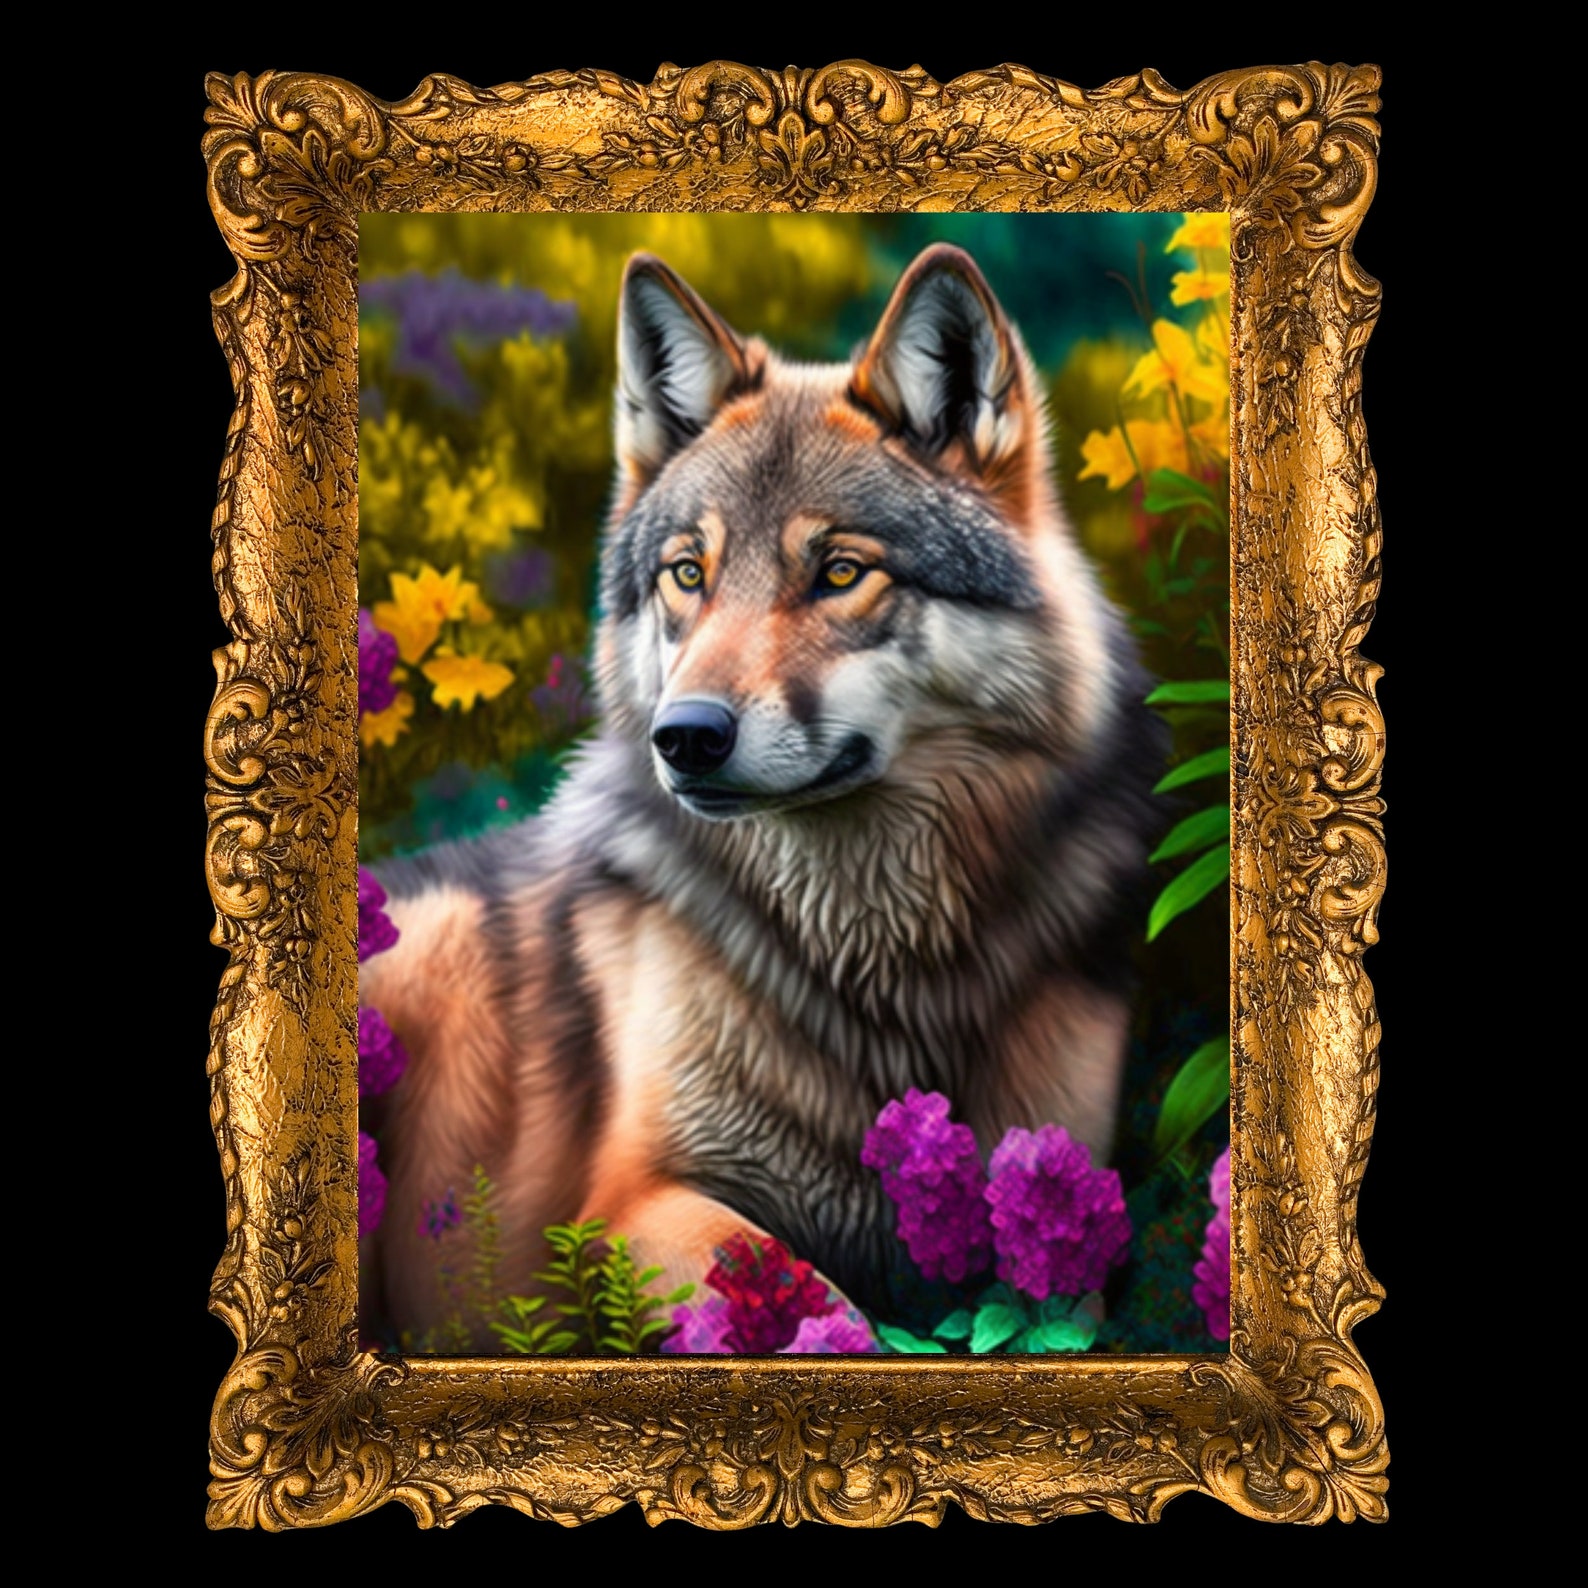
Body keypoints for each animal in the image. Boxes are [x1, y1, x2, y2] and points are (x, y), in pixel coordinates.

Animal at [360, 243, 1166, 1341]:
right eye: (687, 573)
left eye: (839, 572)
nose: (686, 737)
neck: (879, 981)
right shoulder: (632, 1197)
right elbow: (823, 1308)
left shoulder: (1061, 1212)